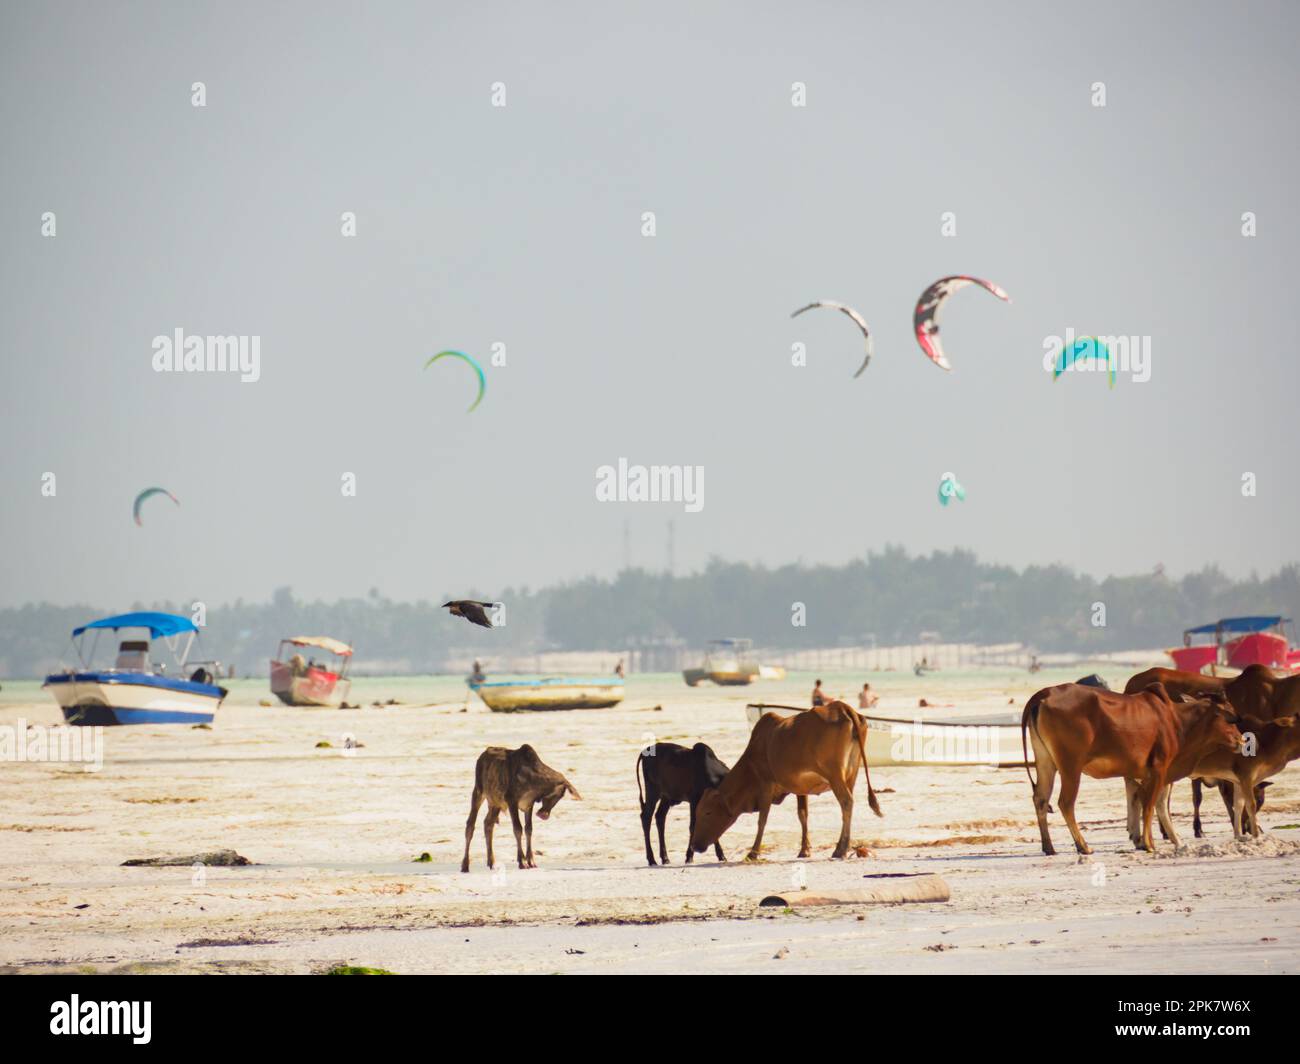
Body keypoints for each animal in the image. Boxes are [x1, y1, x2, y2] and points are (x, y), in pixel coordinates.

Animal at [688, 701, 882, 862]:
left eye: (707, 812)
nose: (694, 845)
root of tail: (843, 708)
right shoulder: (801, 788)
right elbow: (802, 815)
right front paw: (804, 850)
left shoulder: (765, 784)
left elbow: (762, 819)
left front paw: (753, 852)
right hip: (851, 775)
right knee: (847, 805)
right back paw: (842, 847)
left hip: (835, 775)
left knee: (846, 802)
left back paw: (840, 850)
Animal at [1021, 682, 1244, 855]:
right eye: (1230, 718)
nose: (1242, 740)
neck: (1176, 721)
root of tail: (1043, 694)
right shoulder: (1159, 769)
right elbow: (1150, 806)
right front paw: (1149, 844)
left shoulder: (1139, 775)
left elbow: (1140, 803)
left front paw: (1142, 840)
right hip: (1071, 767)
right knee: (1065, 803)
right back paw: (1083, 846)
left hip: (1046, 763)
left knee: (1040, 799)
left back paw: (1049, 847)